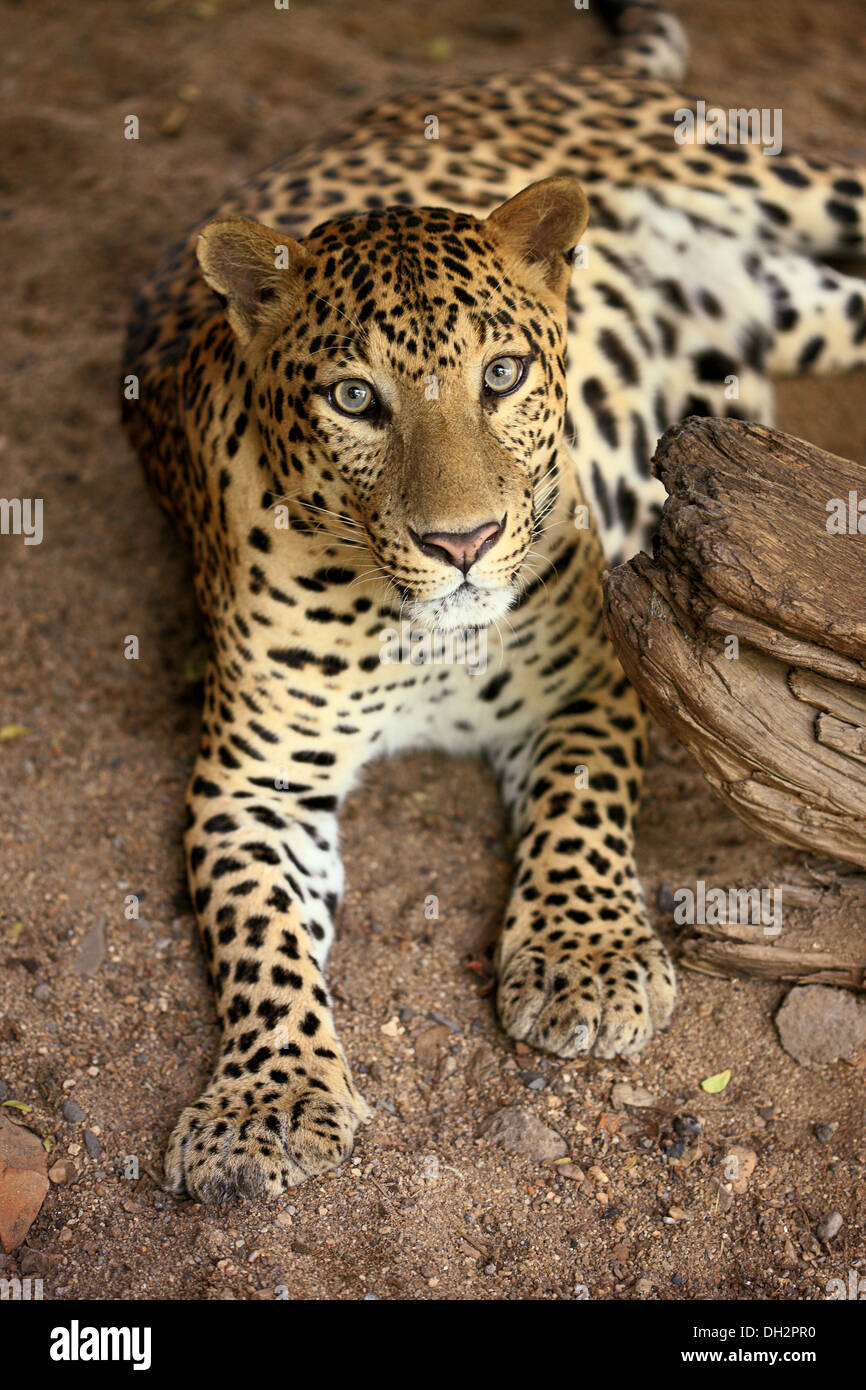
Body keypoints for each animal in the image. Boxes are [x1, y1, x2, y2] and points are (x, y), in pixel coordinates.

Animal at [122, 0, 866, 1203]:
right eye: (353, 398)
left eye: (504, 375)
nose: (462, 543)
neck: (405, 628)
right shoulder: (250, 781)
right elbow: (258, 936)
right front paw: (264, 1100)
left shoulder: (592, 683)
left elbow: (577, 811)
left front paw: (585, 961)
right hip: (804, 307)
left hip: (778, 181)